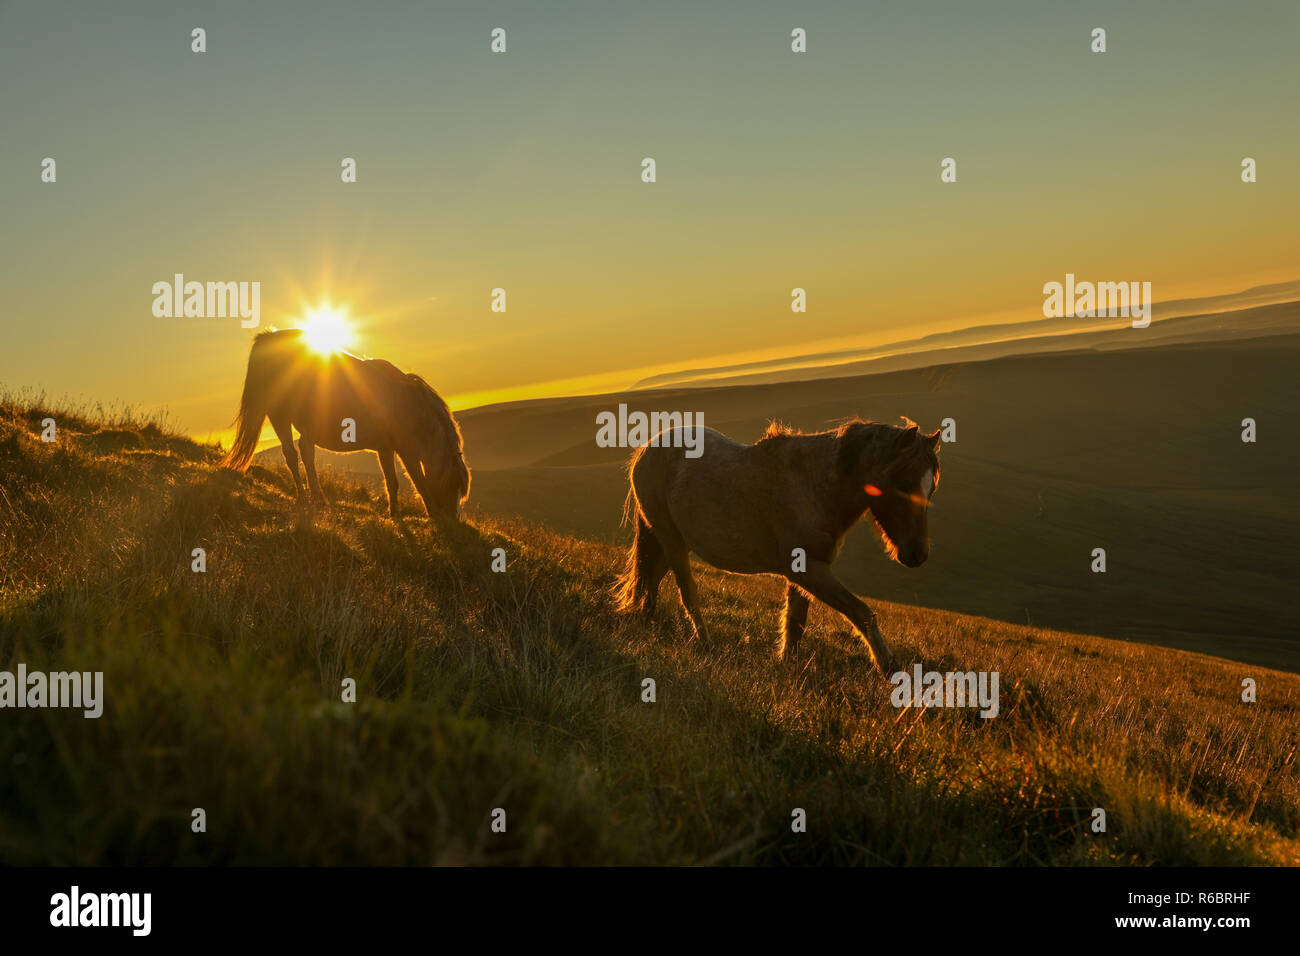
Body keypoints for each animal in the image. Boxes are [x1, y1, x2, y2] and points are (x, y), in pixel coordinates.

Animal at [220, 329, 470, 521]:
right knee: (301, 452)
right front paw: (432, 513)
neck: (410, 405)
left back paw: (307, 497)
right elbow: (419, 481)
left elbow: (392, 482)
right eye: (454, 485)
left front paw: (394, 514)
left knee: (295, 453)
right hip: (290, 415)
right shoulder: (406, 451)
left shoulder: (385, 449)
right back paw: (314, 498)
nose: (453, 521)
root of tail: (271, 338)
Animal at [615, 419, 941, 674]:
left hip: (669, 542)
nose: (917, 554)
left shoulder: (806, 573)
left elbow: (796, 623)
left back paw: (645, 621)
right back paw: (704, 644)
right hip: (671, 540)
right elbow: (862, 613)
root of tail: (647, 449)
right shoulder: (808, 572)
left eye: (931, 488)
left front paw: (787, 665)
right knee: (687, 592)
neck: (815, 487)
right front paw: (889, 668)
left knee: (650, 582)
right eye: (903, 484)